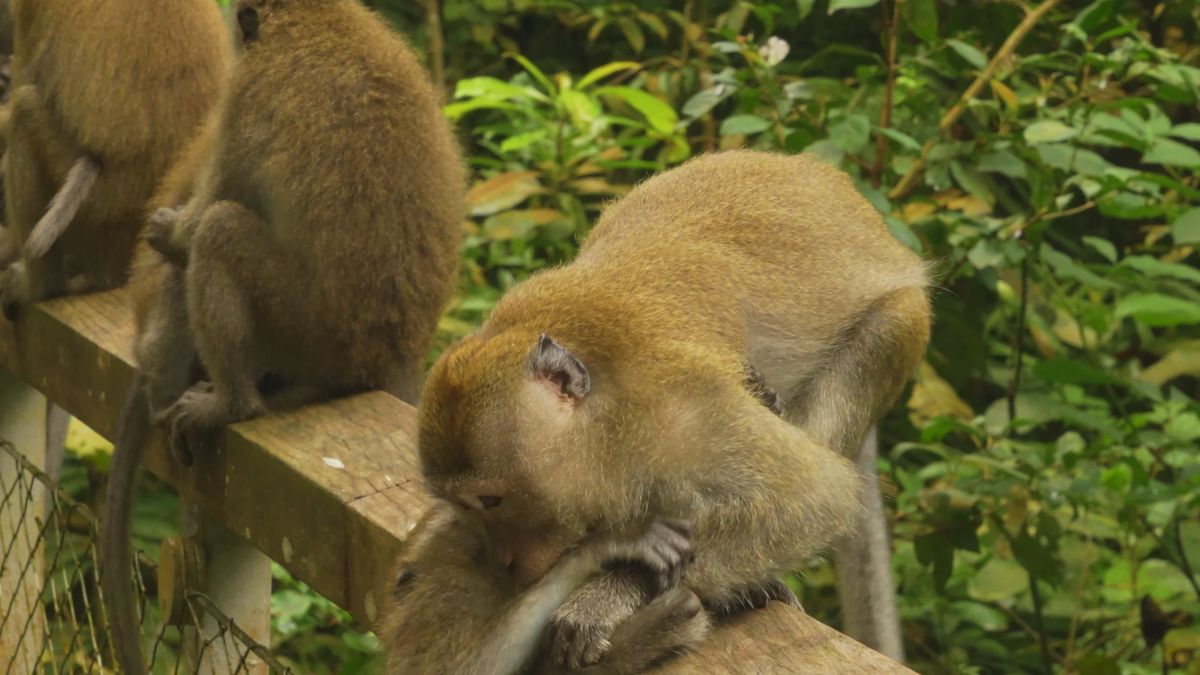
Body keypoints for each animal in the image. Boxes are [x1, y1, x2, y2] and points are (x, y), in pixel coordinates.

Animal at [417, 150, 931, 669]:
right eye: (466, 506)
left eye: (492, 501)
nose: (502, 563)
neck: (606, 413)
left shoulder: (682, 411)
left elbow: (811, 497)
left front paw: (613, 591)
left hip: (901, 320)